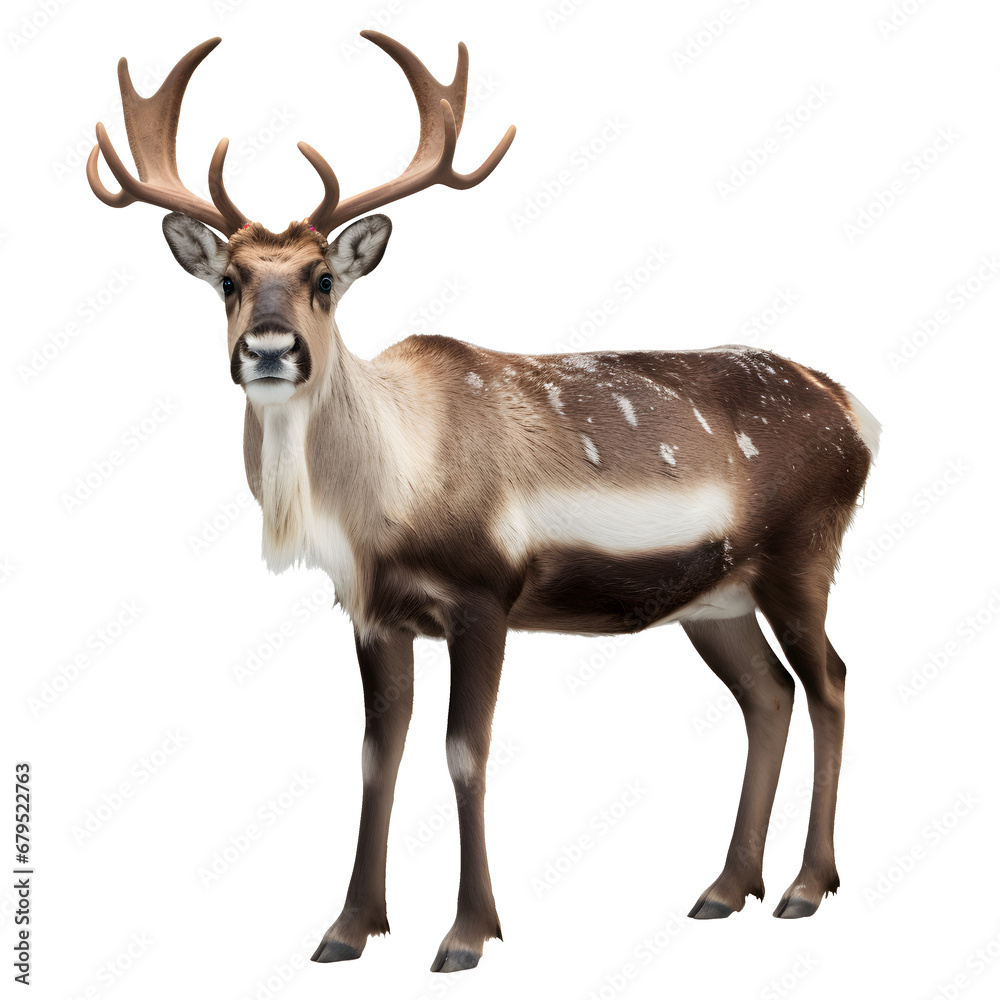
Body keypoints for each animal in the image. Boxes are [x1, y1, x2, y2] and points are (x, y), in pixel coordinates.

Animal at [88, 31, 881, 973]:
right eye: (229, 281)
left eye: (323, 278)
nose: (269, 349)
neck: (380, 508)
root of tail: (859, 413)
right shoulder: (374, 614)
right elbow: (377, 754)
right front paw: (348, 927)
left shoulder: (484, 597)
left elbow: (465, 753)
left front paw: (467, 933)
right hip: (715, 598)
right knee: (768, 694)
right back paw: (726, 888)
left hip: (804, 553)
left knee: (830, 680)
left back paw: (806, 886)